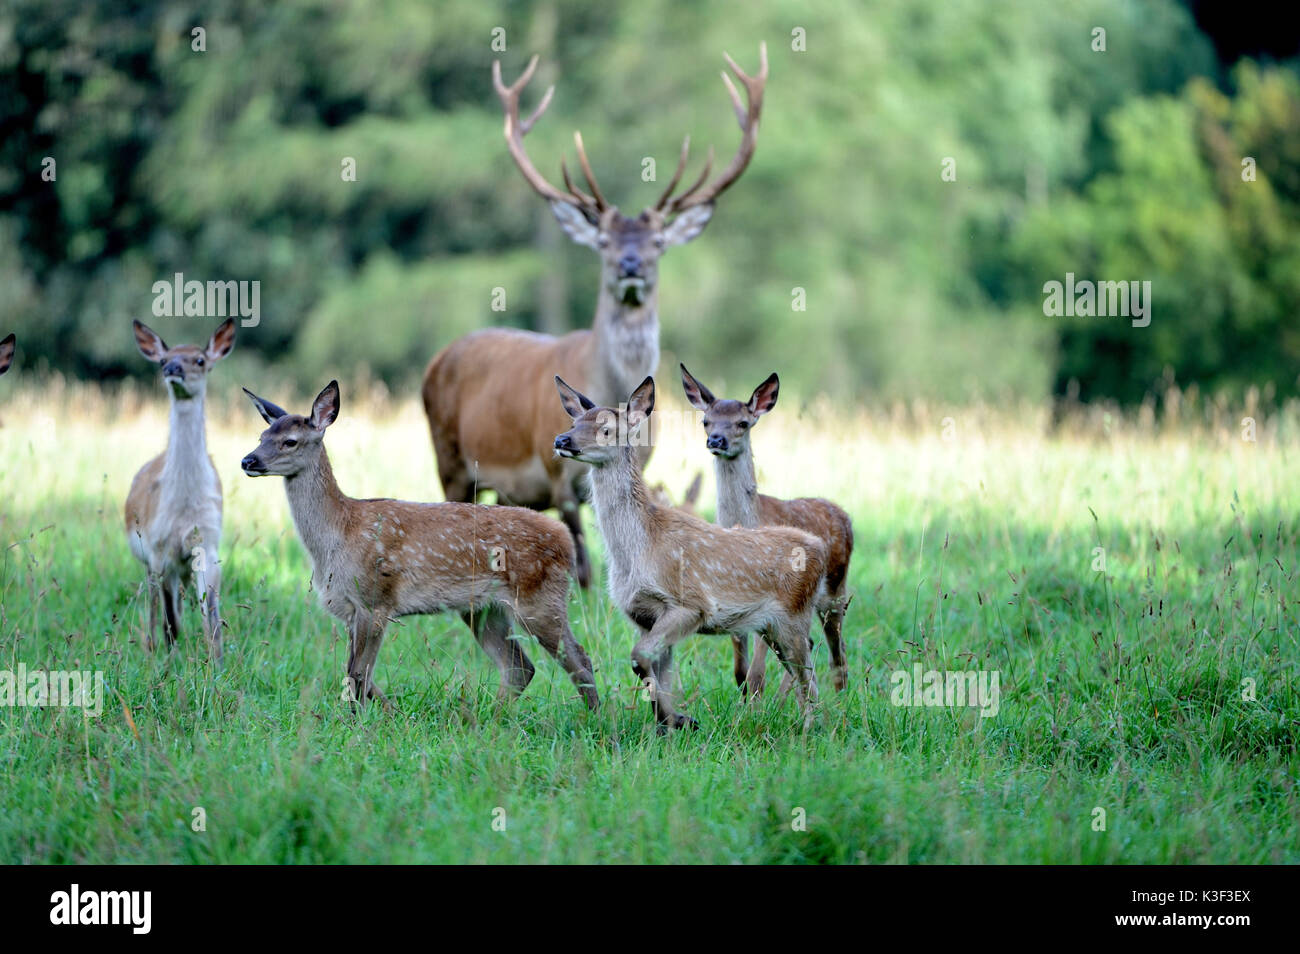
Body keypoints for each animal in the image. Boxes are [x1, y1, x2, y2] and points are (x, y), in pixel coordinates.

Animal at [124, 319, 235, 660]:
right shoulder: (160, 549)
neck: (186, 509)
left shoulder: (208, 542)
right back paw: (150, 648)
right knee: (154, 606)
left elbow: (212, 615)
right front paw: (171, 659)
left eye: (200, 360)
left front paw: (218, 662)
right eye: (162, 360)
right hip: (147, 558)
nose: (173, 368)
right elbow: (170, 620)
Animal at [240, 380, 599, 713]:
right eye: (261, 436)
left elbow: (358, 675)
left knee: (579, 660)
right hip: (483, 609)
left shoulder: (374, 599)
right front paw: (390, 714)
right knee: (519, 667)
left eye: (290, 441)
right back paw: (487, 721)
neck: (337, 536)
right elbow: (357, 675)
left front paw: (359, 723)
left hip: (538, 598)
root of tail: (564, 539)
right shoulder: (350, 609)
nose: (248, 460)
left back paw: (594, 719)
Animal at [422, 44, 768, 589]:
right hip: (450, 458)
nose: (630, 265)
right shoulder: (555, 474)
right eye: (604, 241)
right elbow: (581, 561)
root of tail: (438, 359)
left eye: (658, 241)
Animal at [553, 374, 825, 731]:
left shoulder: (690, 603)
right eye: (574, 421)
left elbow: (639, 657)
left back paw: (809, 730)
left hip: (793, 616)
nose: (562, 439)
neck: (640, 549)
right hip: (774, 625)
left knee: (808, 673)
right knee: (804, 669)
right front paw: (669, 723)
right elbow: (657, 670)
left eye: (606, 429)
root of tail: (820, 548)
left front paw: (680, 718)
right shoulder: (642, 615)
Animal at [680, 365, 854, 696]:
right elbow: (740, 670)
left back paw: (840, 695)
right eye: (706, 421)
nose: (716, 440)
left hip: (835, 588)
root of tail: (843, 514)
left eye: (743, 422)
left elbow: (757, 672)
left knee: (835, 648)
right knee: (808, 644)